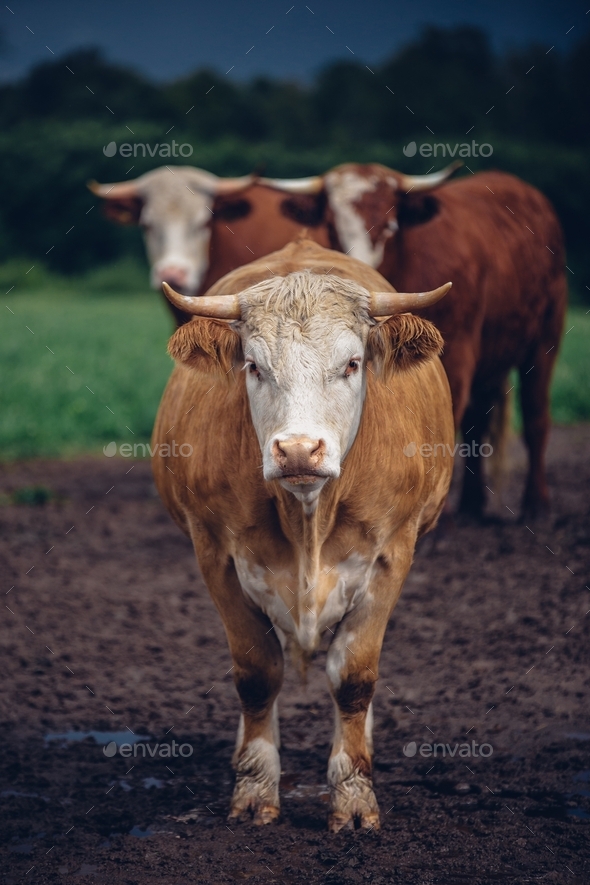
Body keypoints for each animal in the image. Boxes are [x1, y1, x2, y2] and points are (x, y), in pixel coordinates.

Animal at [91, 162, 566, 519]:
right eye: (147, 224)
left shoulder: (460, 353)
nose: (172, 274)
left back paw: (535, 505)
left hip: (544, 340)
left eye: (203, 221)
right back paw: (472, 506)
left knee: (534, 417)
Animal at [151, 238, 454, 831]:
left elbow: (355, 676)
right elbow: (255, 673)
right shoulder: (214, 554)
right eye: (253, 366)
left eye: (352, 363)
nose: (296, 450)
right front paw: (254, 789)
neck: (308, 518)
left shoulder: (393, 551)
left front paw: (354, 796)